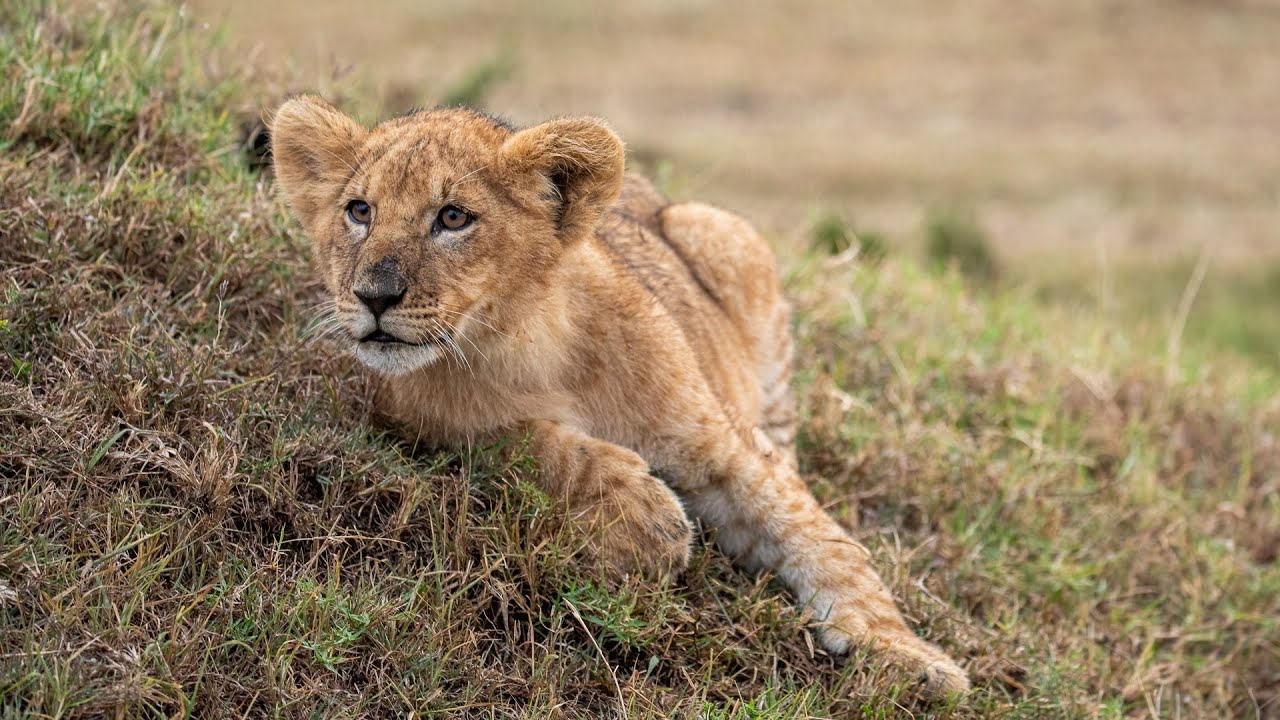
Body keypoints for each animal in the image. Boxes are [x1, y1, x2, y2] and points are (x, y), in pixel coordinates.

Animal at [269, 96, 969, 696]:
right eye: (359, 211)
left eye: (452, 217)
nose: (373, 296)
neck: (524, 346)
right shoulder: (405, 413)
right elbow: (526, 443)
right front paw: (649, 520)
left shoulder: (719, 447)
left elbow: (821, 539)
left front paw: (907, 656)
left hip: (724, 237)